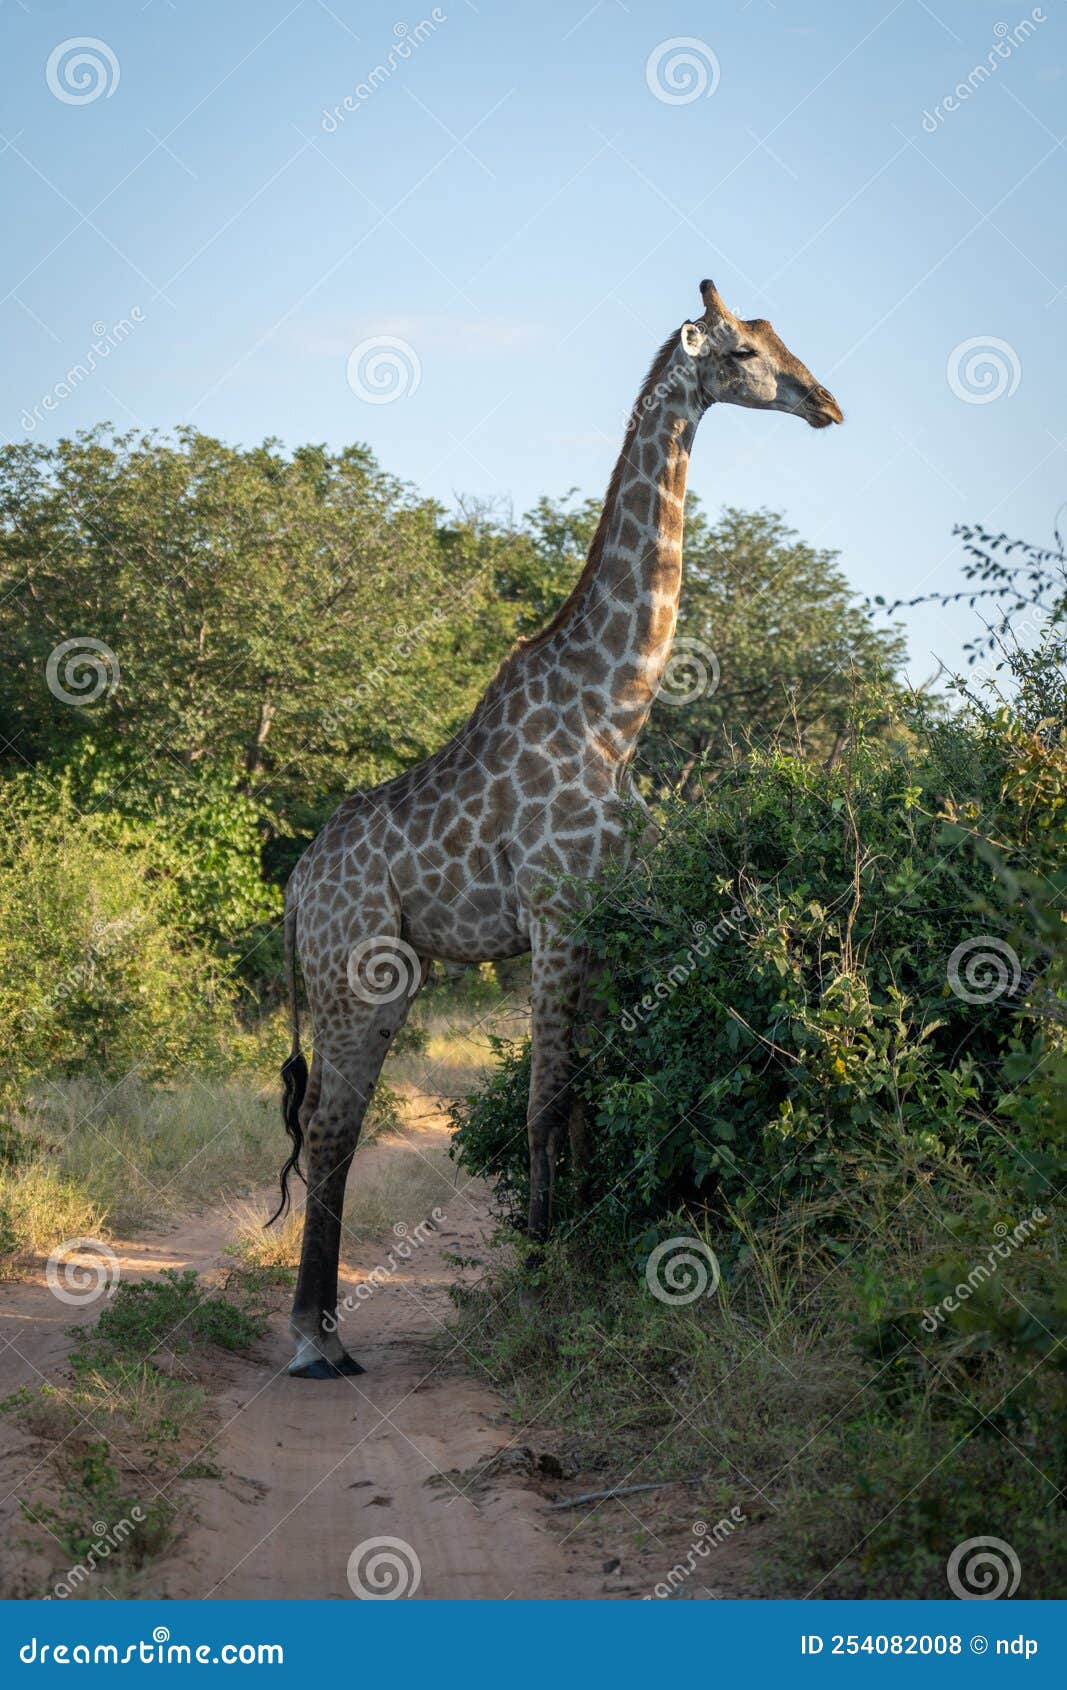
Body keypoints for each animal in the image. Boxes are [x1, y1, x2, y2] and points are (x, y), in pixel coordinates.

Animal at [276, 278, 842, 1377]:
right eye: (743, 353)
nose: (827, 402)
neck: (614, 707)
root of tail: (292, 890)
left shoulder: (603, 910)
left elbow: (581, 1099)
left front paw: (578, 1258)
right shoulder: (554, 910)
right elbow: (543, 1102)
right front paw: (537, 1276)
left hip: (389, 972)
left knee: (337, 1122)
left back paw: (325, 1329)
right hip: (352, 967)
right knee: (326, 1125)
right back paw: (314, 1338)